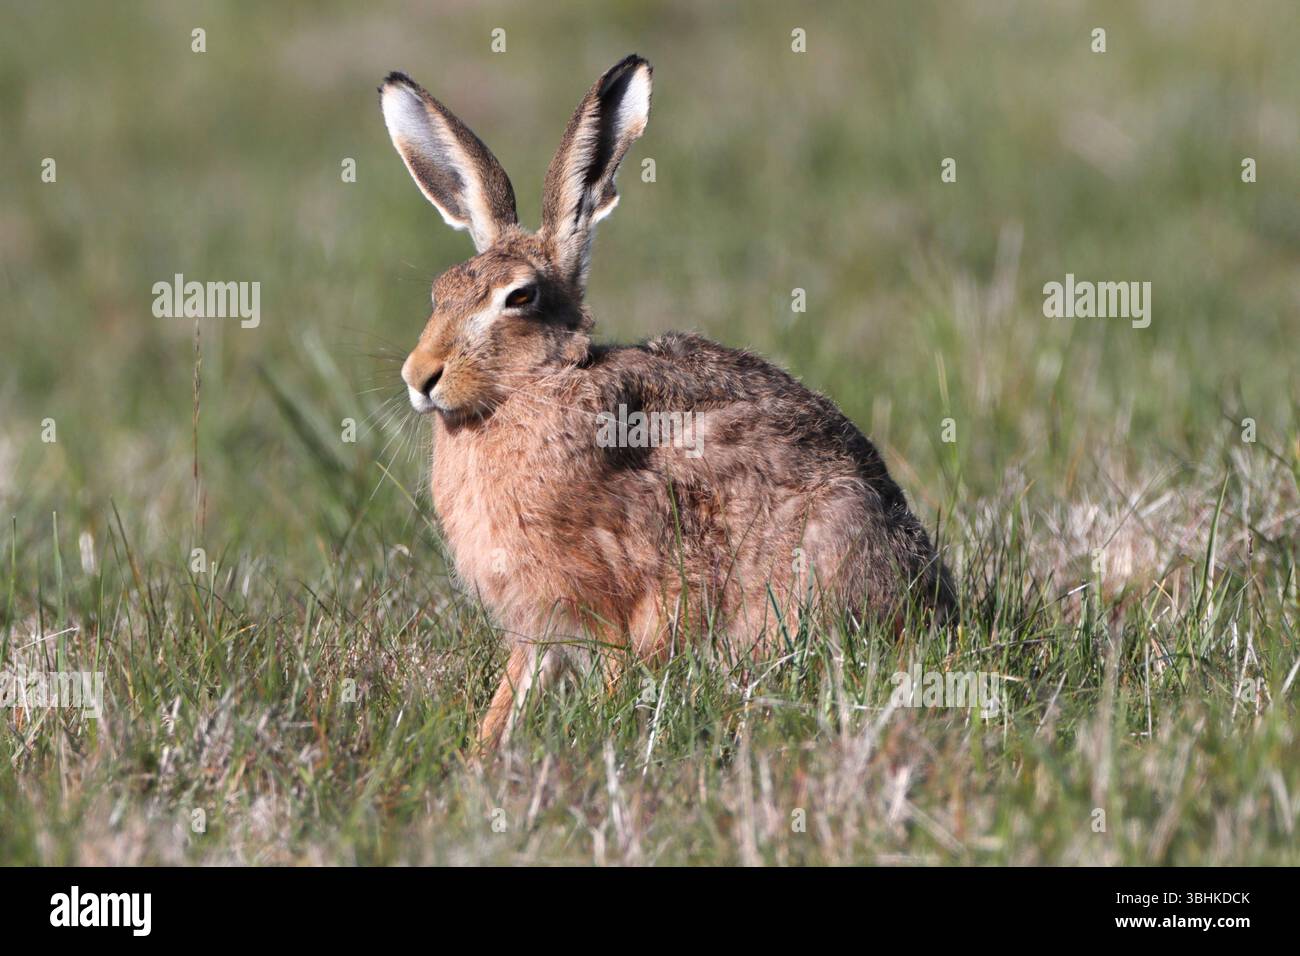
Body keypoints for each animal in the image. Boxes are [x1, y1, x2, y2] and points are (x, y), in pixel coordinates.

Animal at [379, 54, 955, 750]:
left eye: (519, 298)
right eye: (439, 292)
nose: (420, 376)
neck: (534, 387)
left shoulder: (630, 596)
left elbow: (621, 663)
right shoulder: (539, 622)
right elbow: (516, 686)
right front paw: (485, 751)